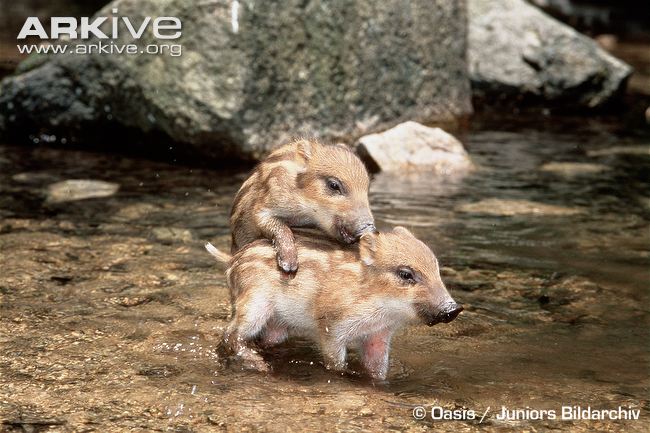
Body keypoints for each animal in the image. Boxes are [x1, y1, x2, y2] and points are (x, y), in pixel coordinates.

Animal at [205, 226, 463, 380]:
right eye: (406, 274)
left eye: (436, 267)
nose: (453, 308)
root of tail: (233, 260)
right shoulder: (332, 328)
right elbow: (335, 364)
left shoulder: (379, 335)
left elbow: (377, 369)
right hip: (254, 304)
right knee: (230, 335)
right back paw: (261, 366)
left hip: (276, 324)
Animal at [229, 138, 375, 274]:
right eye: (333, 185)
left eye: (367, 187)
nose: (370, 228)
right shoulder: (264, 207)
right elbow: (279, 227)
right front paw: (289, 266)